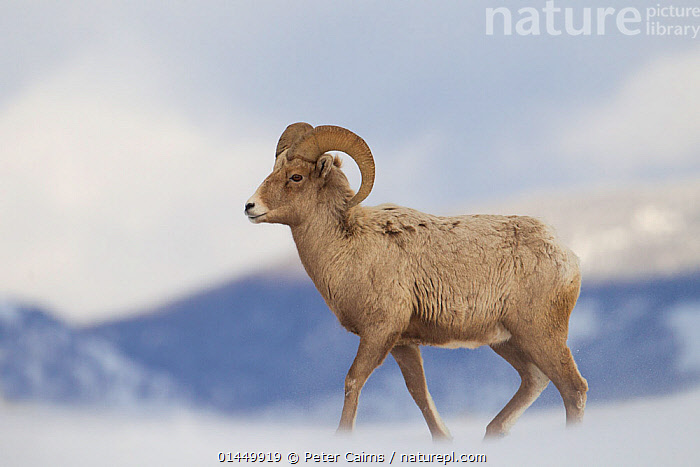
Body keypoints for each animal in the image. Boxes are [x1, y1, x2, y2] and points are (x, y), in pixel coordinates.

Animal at [244, 123, 588, 440]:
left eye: (296, 177)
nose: (250, 207)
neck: (349, 246)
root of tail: (565, 254)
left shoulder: (379, 332)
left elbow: (353, 381)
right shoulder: (403, 343)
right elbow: (418, 392)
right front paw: (444, 438)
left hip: (540, 334)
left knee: (572, 388)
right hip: (507, 341)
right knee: (535, 379)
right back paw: (492, 431)